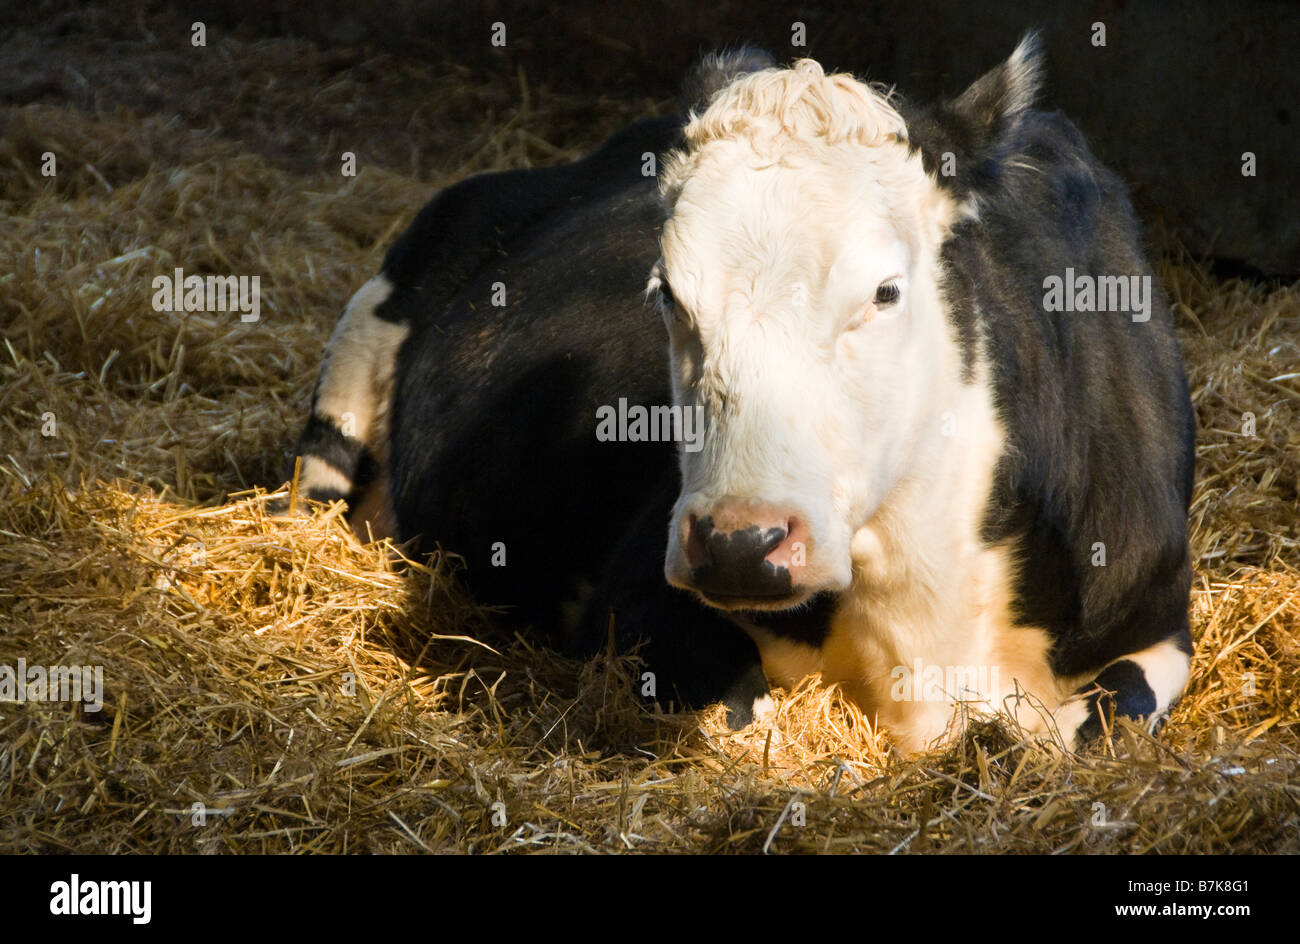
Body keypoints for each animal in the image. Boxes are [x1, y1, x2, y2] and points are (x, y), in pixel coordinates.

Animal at [288, 35, 1196, 753]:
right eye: (668, 293)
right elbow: (748, 724)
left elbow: (1087, 727)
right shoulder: (638, 606)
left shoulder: (1156, 619)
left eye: (886, 292)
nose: (738, 543)